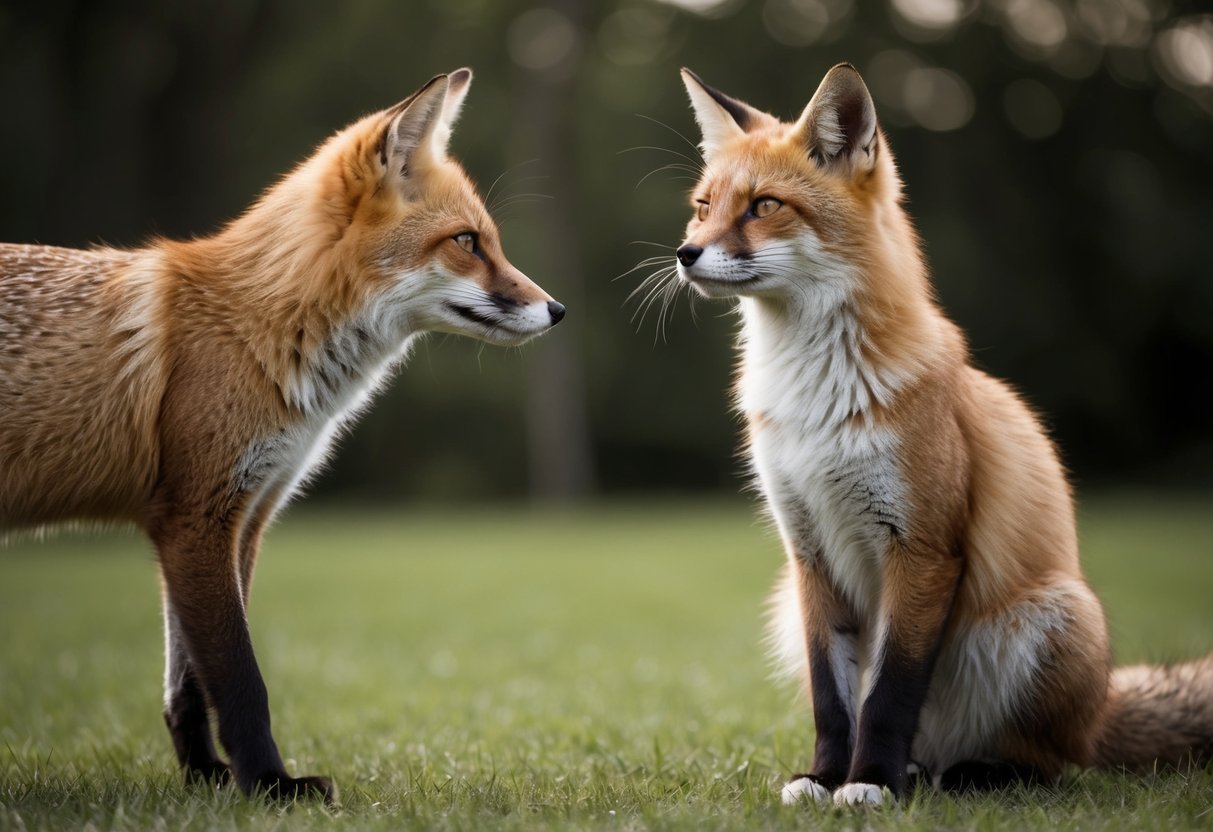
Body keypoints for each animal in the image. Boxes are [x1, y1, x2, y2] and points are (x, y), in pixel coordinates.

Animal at [0, 68, 565, 804]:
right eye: (467, 242)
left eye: (487, 240)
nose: (557, 310)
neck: (260, 328)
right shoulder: (197, 518)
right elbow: (241, 681)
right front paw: (269, 784)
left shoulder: (242, 517)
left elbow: (188, 684)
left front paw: (207, 780)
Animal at [673, 63, 1213, 807]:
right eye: (703, 206)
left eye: (763, 206)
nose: (684, 253)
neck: (817, 401)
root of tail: (1101, 711)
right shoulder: (807, 553)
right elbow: (833, 699)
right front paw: (826, 777)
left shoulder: (924, 548)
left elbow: (889, 693)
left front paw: (869, 784)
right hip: (788, 603)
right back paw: (919, 777)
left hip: (1053, 618)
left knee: (1048, 764)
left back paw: (969, 776)